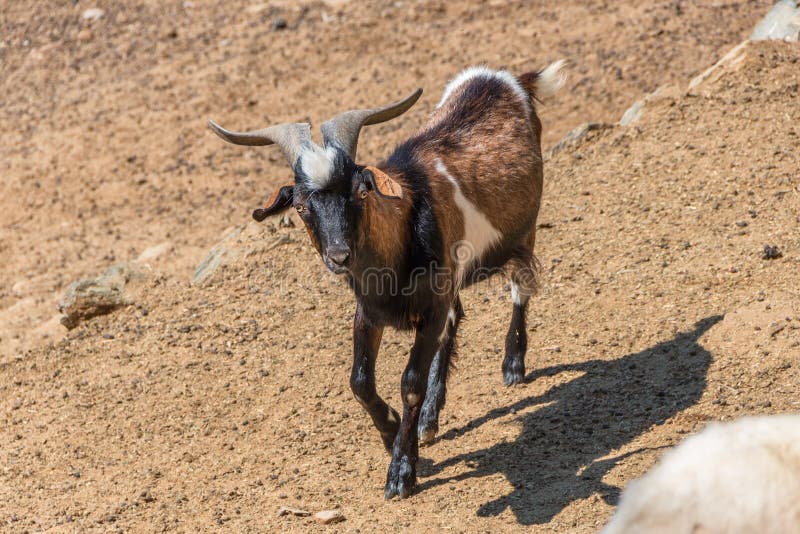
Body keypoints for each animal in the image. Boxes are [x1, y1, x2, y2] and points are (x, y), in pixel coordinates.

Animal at [208, 60, 566, 499]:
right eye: (301, 205)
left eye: (360, 191)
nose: (339, 256)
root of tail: (506, 79)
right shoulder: (369, 313)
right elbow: (359, 382)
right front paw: (393, 429)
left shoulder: (430, 307)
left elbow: (410, 381)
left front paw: (401, 471)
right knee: (456, 320)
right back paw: (430, 419)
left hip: (524, 231)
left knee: (521, 286)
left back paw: (513, 364)